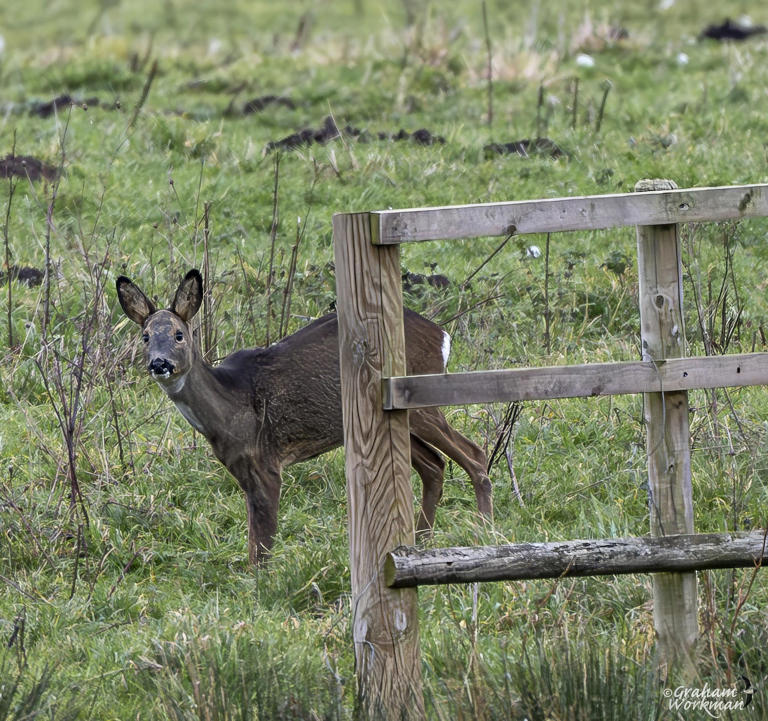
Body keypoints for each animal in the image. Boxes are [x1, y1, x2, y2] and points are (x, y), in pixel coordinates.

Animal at [116, 269, 492, 565]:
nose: (160, 363)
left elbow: (263, 544)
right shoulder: (241, 468)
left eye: (179, 335)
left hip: (420, 398)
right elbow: (253, 542)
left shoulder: (267, 461)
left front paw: (261, 587)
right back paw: (423, 540)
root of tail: (442, 335)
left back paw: (484, 531)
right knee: (434, 464)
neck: (230, 408)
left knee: (473, 453)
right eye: (145, 337)